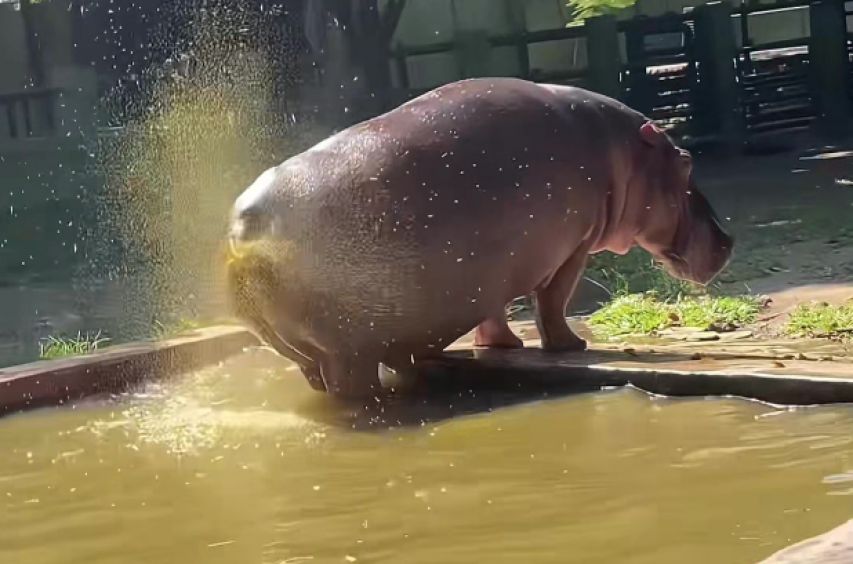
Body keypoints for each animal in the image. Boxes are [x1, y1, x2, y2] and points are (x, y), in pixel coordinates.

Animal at [226, 77, 732, 397]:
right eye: (686, 161)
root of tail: (245, 231)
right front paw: (573, 347)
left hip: (307, 351)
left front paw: (501, 347)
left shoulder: (492, 268)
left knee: (319, 373)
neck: (620, 150)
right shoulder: (573, 249)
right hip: (346, 353)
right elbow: (552, 302)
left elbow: (495, 310)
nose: (728, 240)